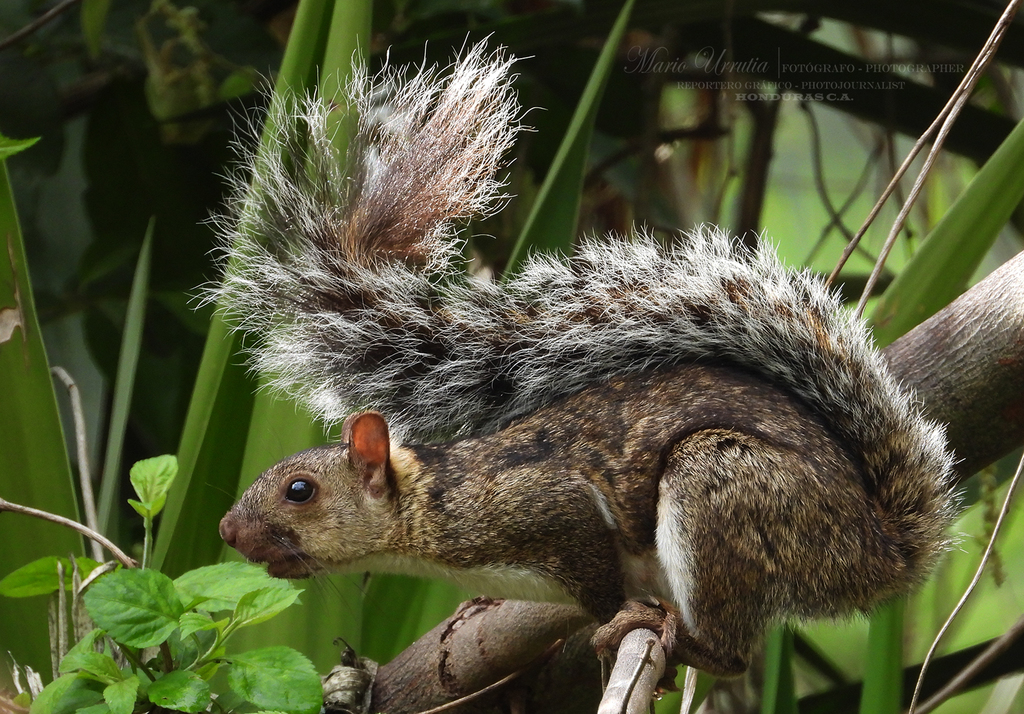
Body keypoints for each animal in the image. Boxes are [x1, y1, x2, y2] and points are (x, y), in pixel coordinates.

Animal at [214, 44, 957, 676]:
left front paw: (613, 617)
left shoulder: (542, 507)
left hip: (724, 489)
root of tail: (878, 554)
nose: (225, 530)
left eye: (300, 490)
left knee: (731, 652)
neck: (432, 507)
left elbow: (595, 567)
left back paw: (677, 638)